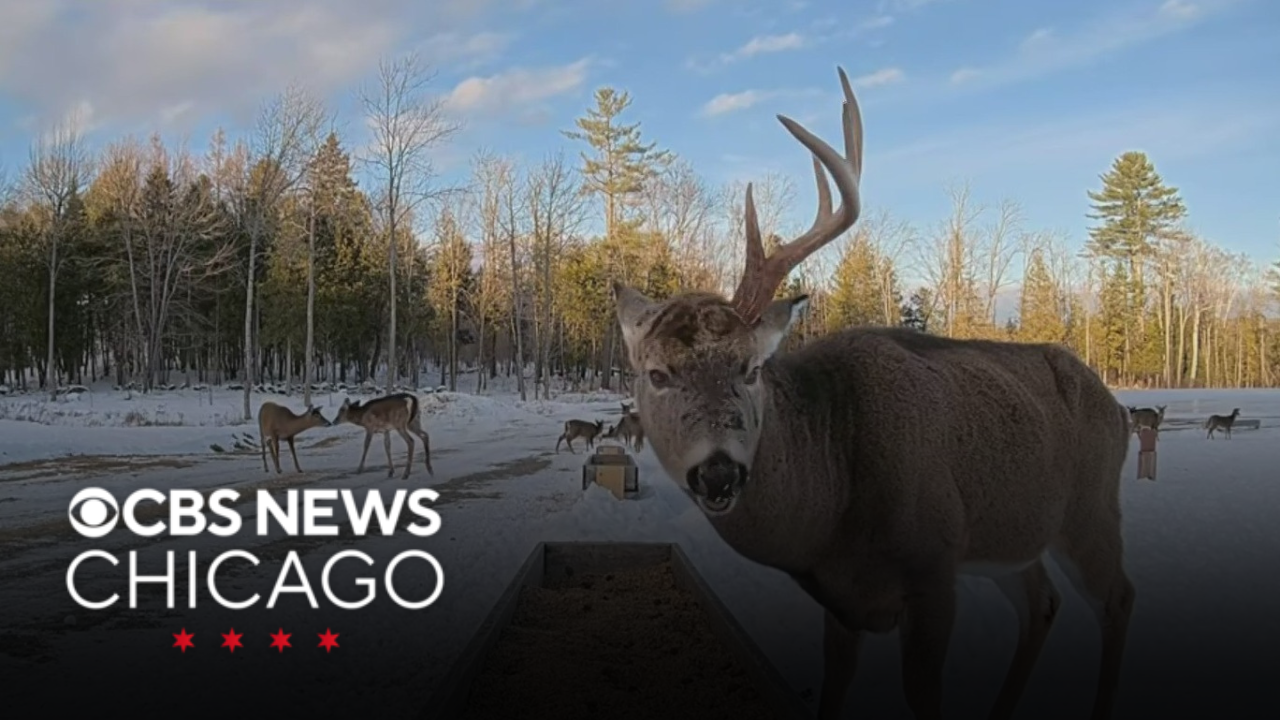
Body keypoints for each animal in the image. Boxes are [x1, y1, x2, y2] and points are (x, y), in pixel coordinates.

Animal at [611, 66, 1134, 720]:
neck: (833, 514)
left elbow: (923, 695)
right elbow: (834, 683)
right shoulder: (842, 603)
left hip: (1091, 509)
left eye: (751, 368)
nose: (719, 473)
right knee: (1042, 603)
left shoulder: (935, 566)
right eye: (656, 374)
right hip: (1014, 536)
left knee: (1117, 598)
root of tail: (1117, 407)